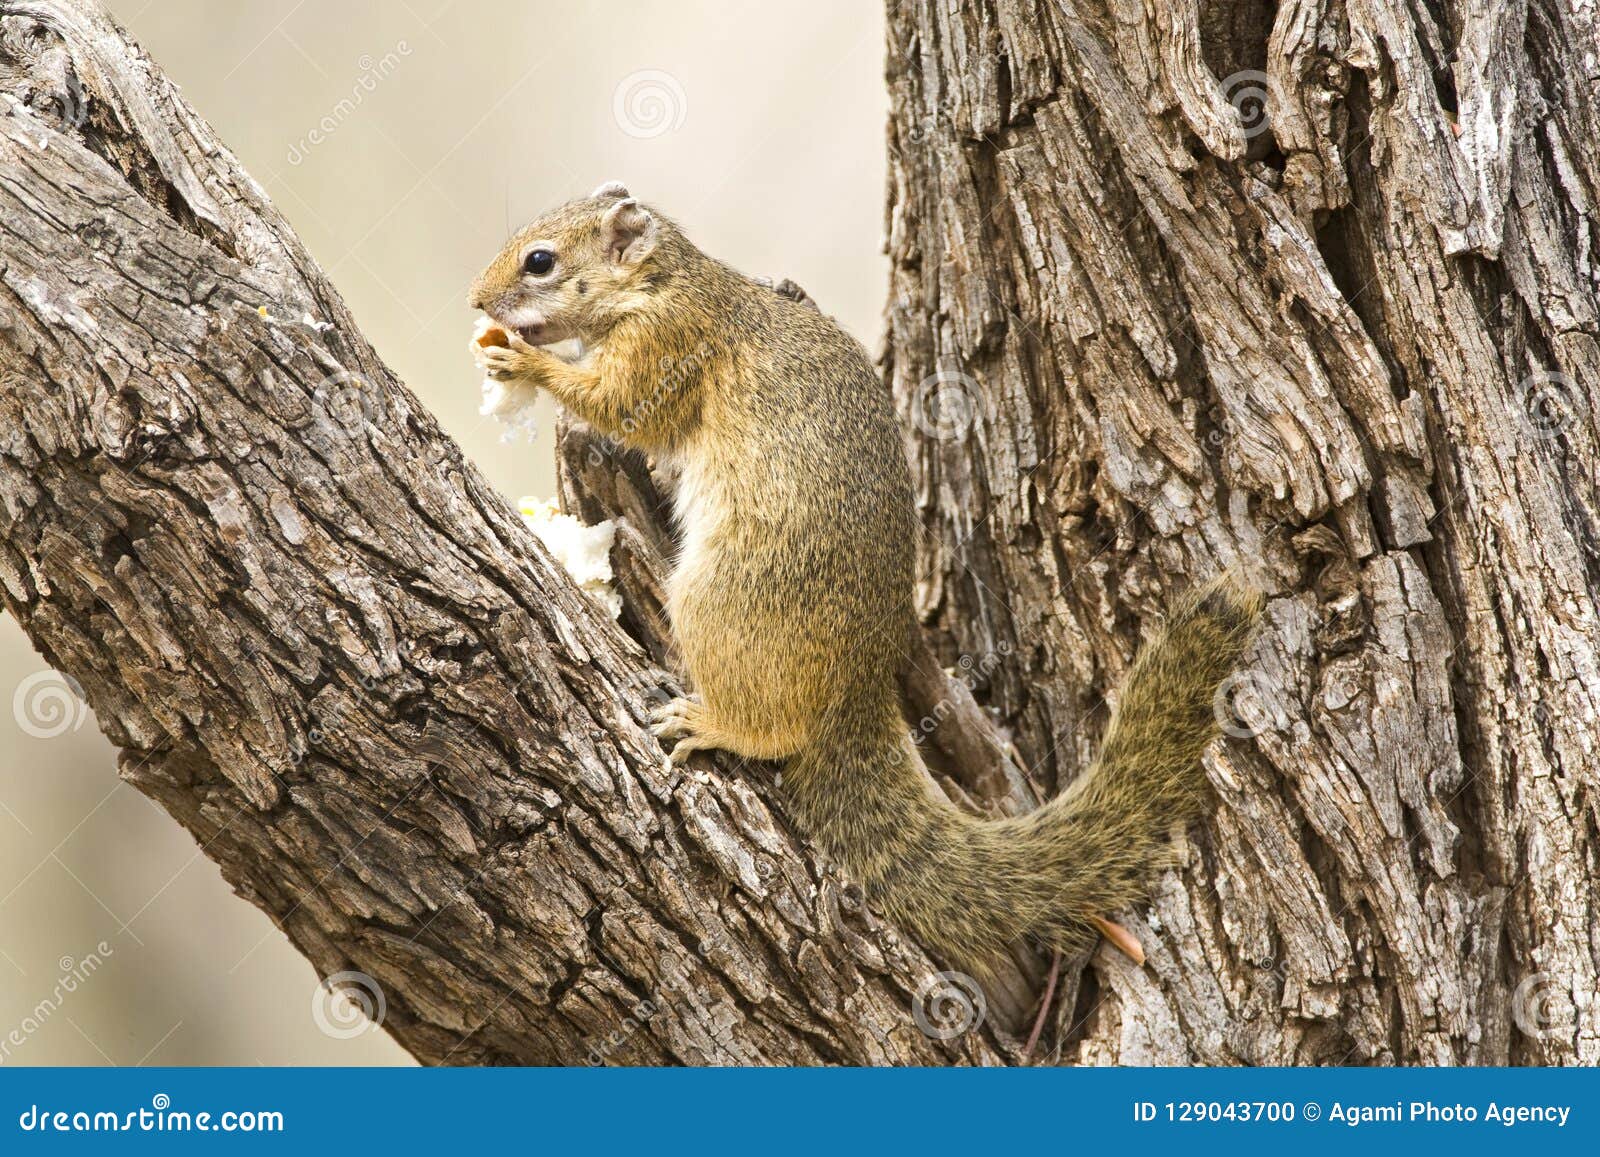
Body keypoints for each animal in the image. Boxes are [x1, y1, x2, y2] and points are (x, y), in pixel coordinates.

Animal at [468, 181, 1264, 969]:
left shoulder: (668, 347)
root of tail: (857, 687)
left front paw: (525, 365)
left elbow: (621, 409)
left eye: (540, 261)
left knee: (777, 731)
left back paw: (714, 722)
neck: (666, 283)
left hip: (720, 600)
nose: (477, 301)